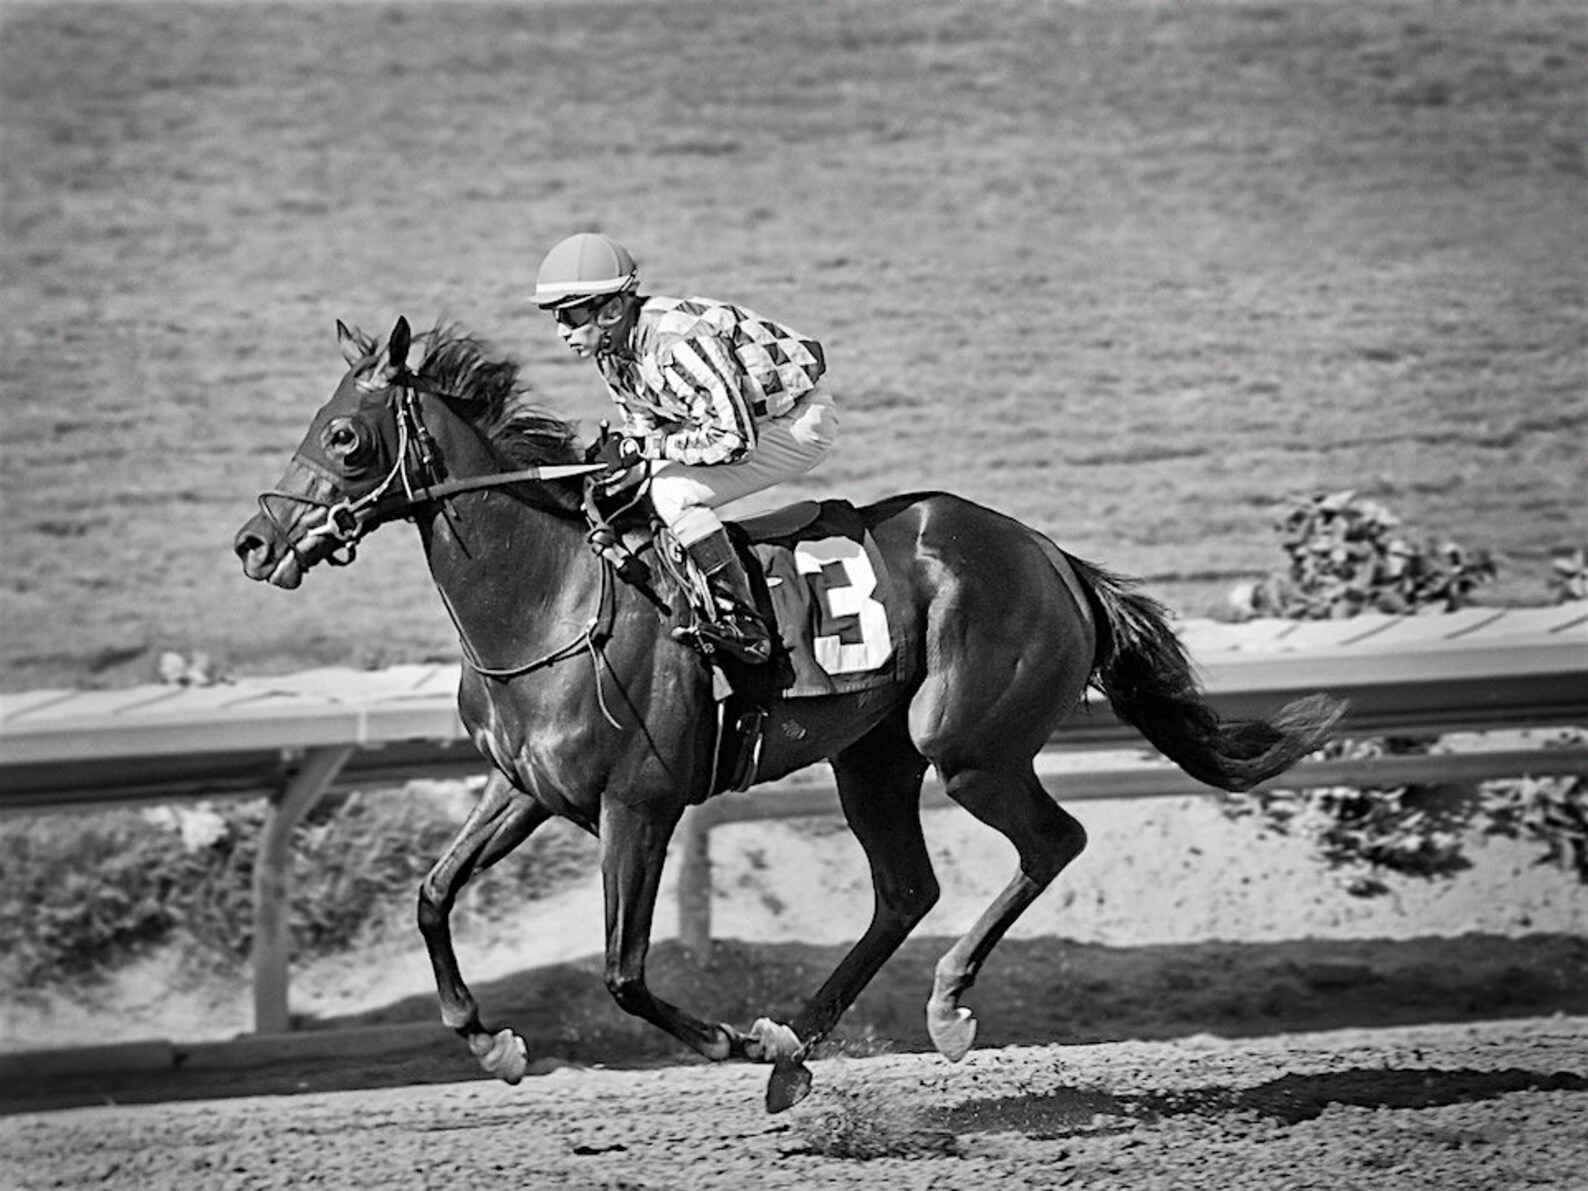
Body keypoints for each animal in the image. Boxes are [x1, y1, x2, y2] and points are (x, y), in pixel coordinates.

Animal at [234, 317, 1344, 1112]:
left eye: (343, 436)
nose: (253, 542)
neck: (549, 598)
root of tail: (1049, 554)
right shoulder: (526, 788)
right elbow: (432, 895)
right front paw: (492, 1042)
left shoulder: (640, 807)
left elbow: (623, 974)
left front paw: (734, 1037)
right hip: (874, 757)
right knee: (905, 889)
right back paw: (798, 1051)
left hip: (964, 745)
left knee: (1051, 841)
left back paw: (938, 1007)